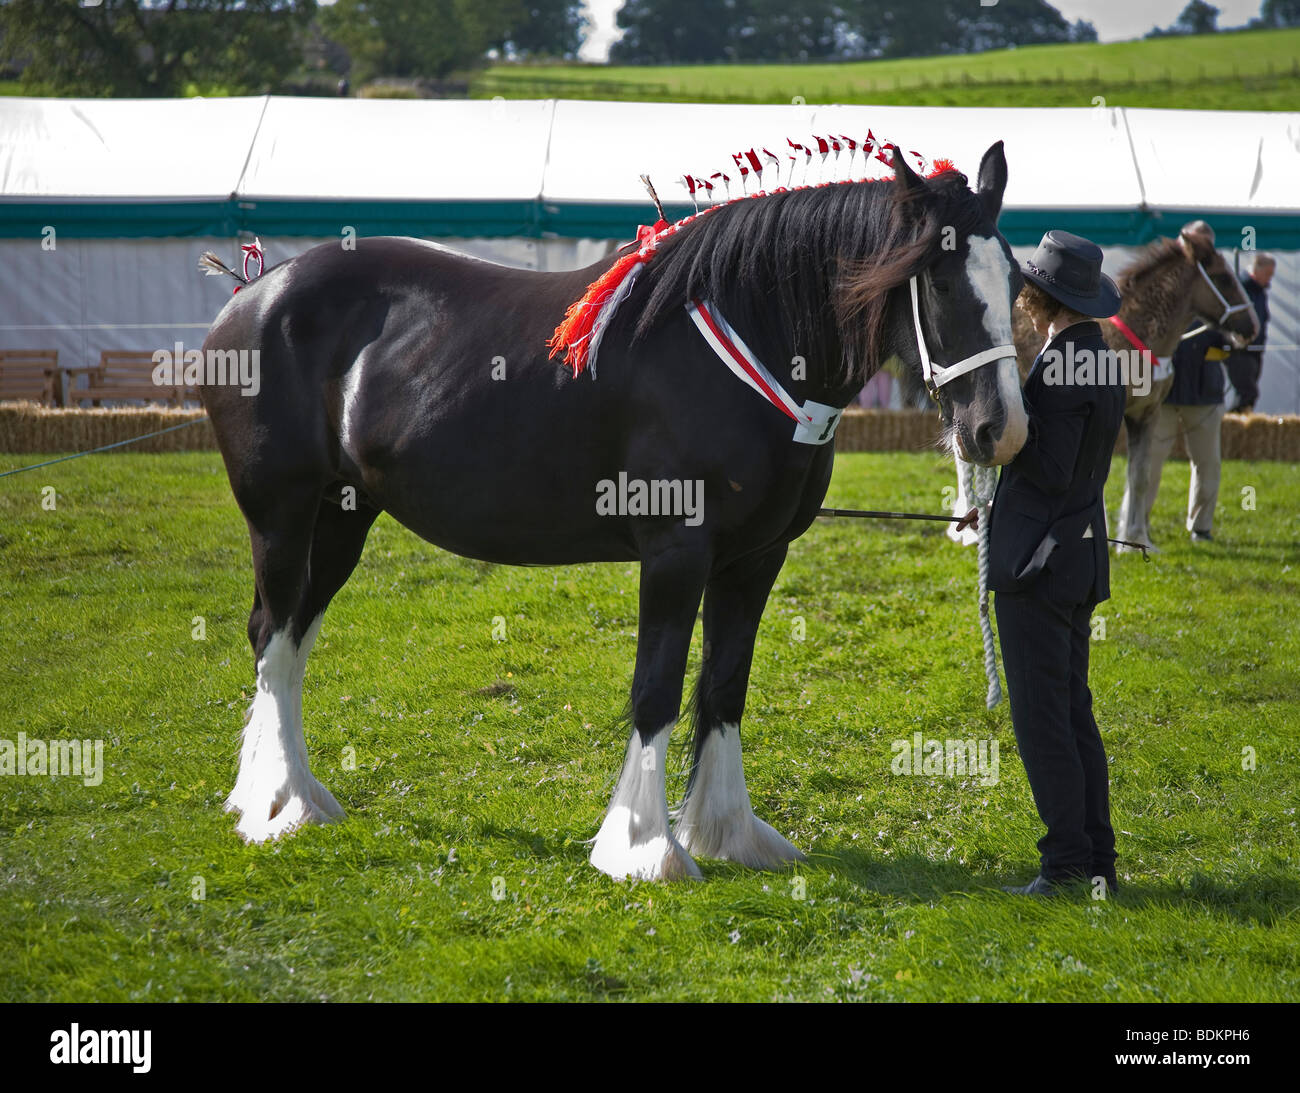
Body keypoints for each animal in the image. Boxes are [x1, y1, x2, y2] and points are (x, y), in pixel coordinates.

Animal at [198, 142, 1028, 882]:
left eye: (1015, 278)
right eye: (940, 281)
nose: (1001, 429)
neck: (747, 342)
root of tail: (253, 294)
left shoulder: (756, 559)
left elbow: (724, 686)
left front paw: (728, 831)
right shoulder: (676, 554)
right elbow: (656, 689)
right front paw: (644, 846)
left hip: (342, 516)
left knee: (289, 637)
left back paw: (285, 794)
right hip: (282, 514)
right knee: (275, 632)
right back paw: (281, 801)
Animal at [947, 221, 1257, 551]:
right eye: (1223, 278)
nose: (1251, 328)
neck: (1137, 338)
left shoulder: (1146, 415)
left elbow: (1140, 476)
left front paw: (1136, 538)